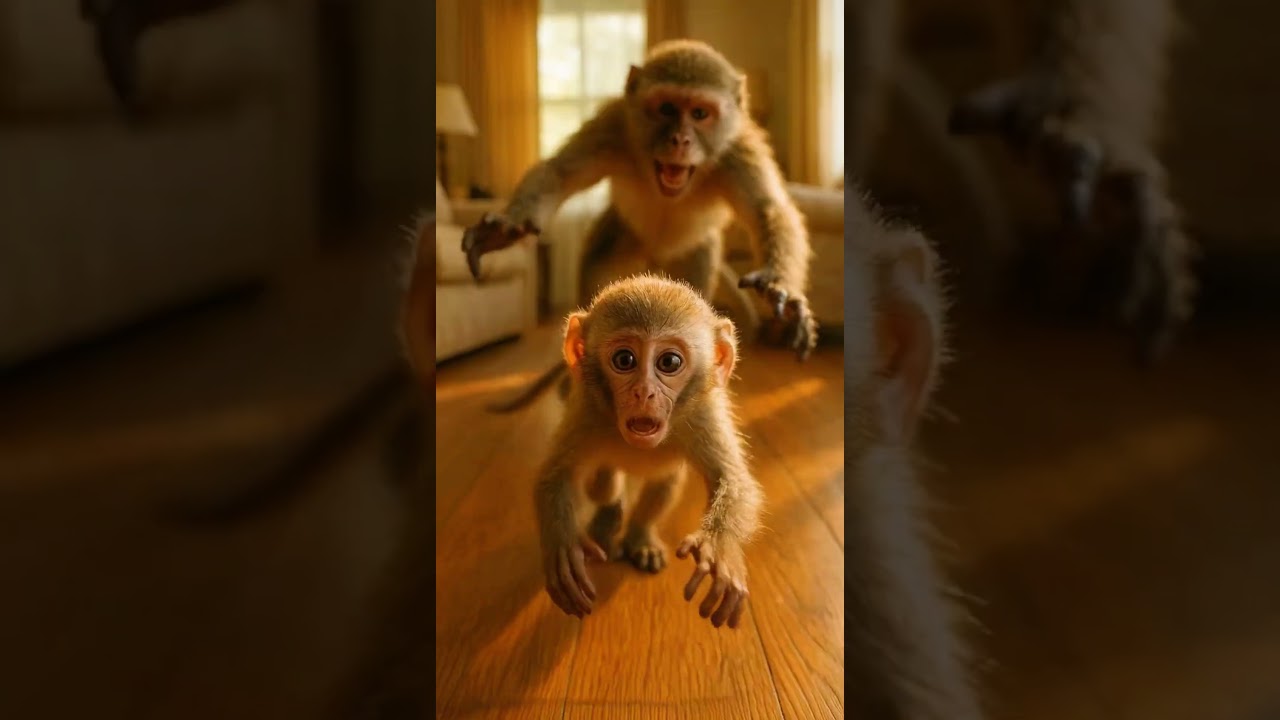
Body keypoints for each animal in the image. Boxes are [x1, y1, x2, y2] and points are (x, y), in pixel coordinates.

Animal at [463, 39, 818, 412]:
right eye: (667, 108)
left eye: (700, 114)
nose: (680, 140)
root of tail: (654, 259)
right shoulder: (615, 126)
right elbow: (558, 171)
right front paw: (505, 227)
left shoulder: (737, 150)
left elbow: (768, 210)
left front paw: (780, 288)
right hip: (621, 240)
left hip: (687, 261)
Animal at [533, 273, 761, 629]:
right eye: (624, 360)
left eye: (669, 362)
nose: (644, 392)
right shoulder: (587, 410)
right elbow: (556, 477)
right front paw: (564, 549)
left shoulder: (703, 413)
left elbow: (731, 478)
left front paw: (719, 548)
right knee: (602, 483)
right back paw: (608, 519)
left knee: (664, 481)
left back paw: (639, 538)